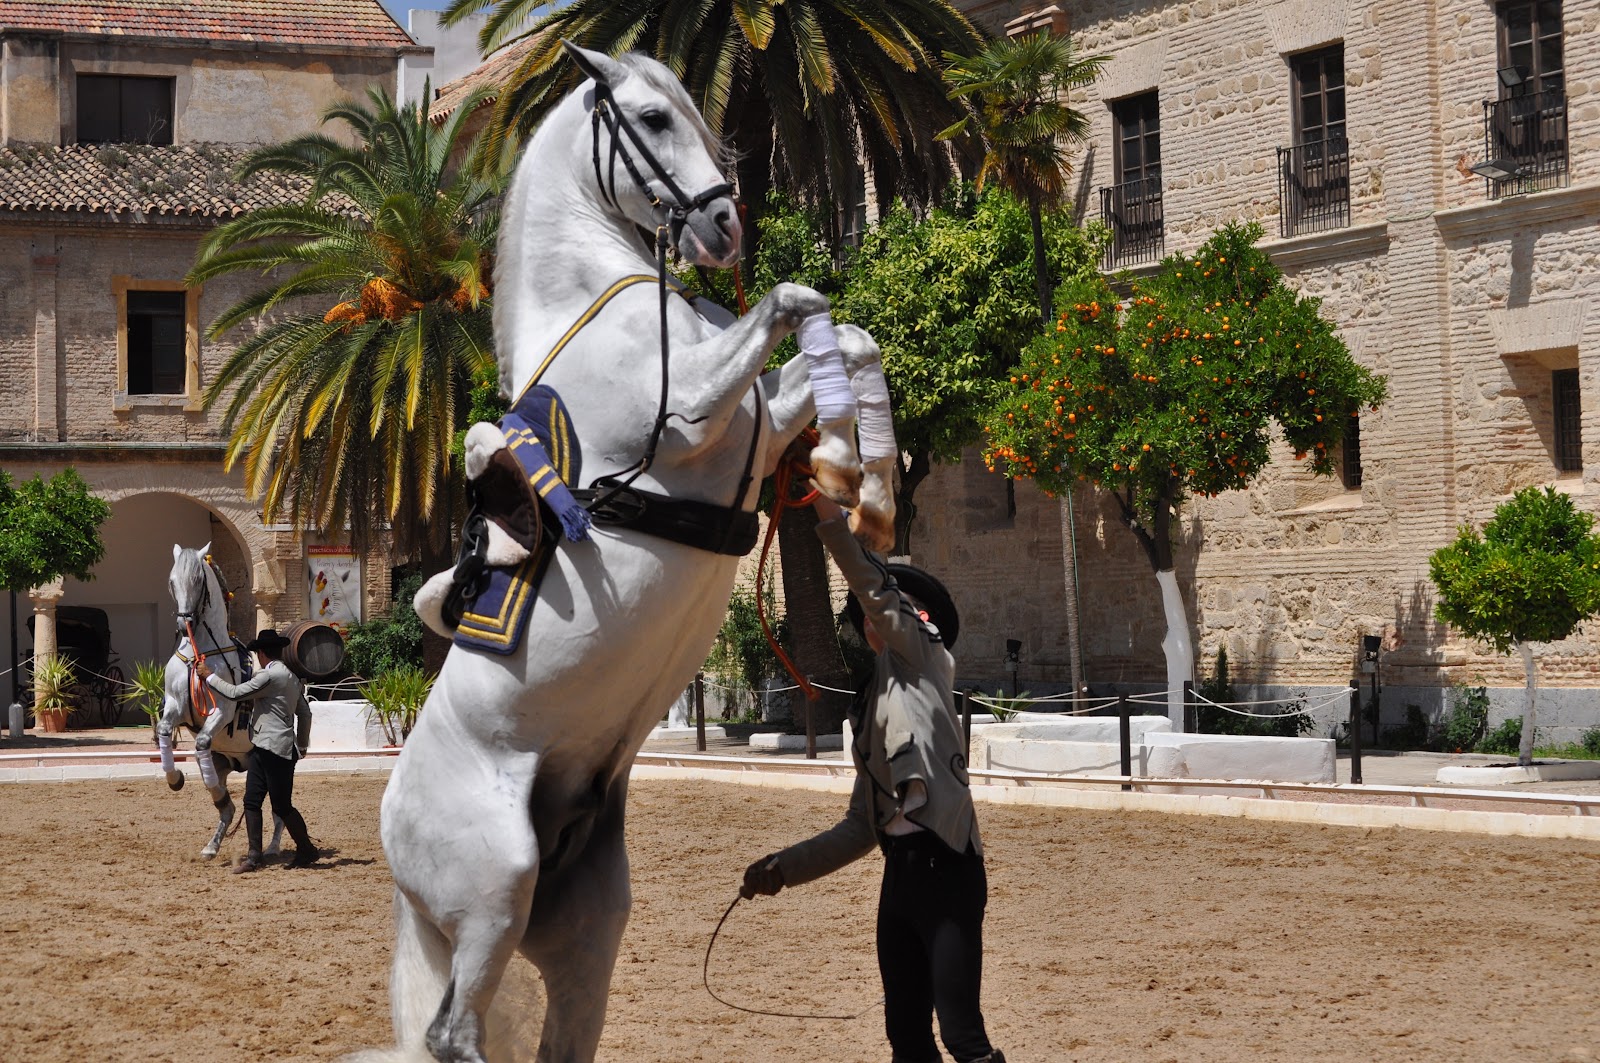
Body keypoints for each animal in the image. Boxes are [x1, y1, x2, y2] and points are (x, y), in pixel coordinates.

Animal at [156, 543, 283, 860]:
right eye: (172, 581)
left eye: (198, 581)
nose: (184, 623)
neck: (198, 653)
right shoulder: (175, 707)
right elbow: (164, 731)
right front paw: (175, 778)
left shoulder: (221, 711)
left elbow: (201, 741)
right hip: (225, 760)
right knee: (229, 809)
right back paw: (212, 845)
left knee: (279, 808)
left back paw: (274, 847)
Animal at [365, 44, 895, 1063]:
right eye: (651, 119)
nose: (726, 226)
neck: (599, 296)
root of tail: (397, 842)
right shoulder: (688, 415)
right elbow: (796, 299)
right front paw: (858, 469)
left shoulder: (756, 423)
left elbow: (846, 337)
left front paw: (861, 476)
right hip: (495, 890)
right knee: (452, 1033)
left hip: (584, 926)